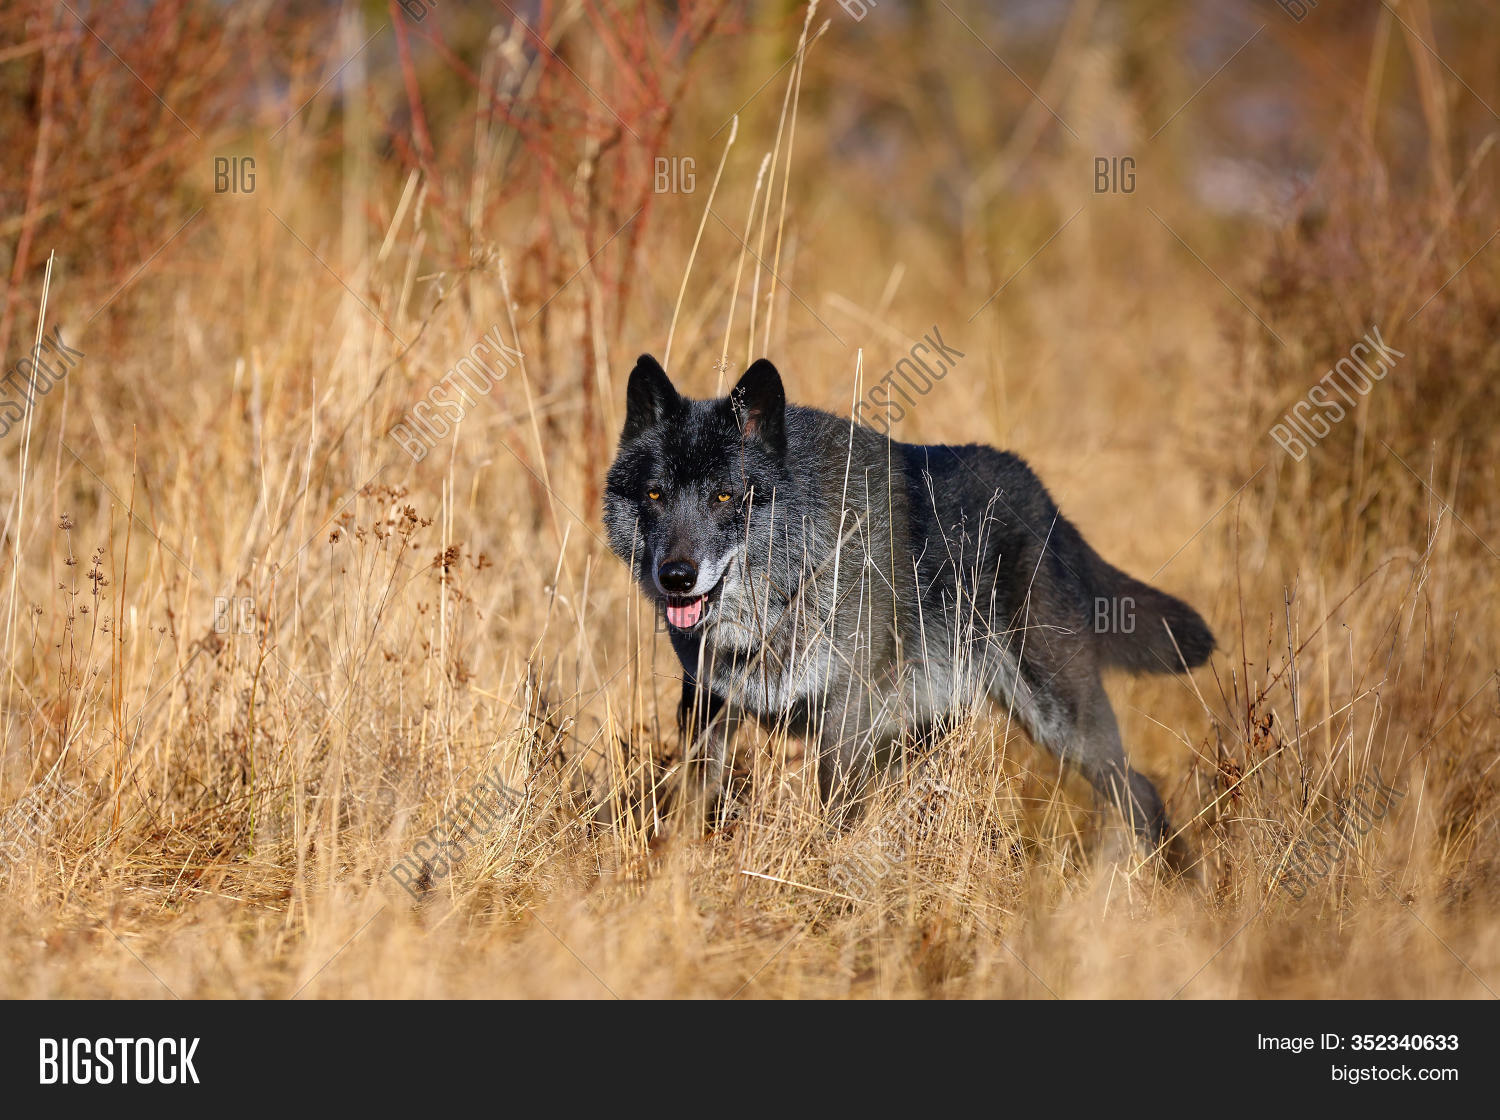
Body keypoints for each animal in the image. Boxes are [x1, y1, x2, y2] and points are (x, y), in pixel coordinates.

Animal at [602, 354, 1214, 859]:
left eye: (725, 496)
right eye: (655, 494)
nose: (676, 577)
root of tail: (1048, 503)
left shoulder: (845, 720)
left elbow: (835, 820)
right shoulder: (707, 708)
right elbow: (687, 810)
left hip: (1062, 722)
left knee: (1143, 794)